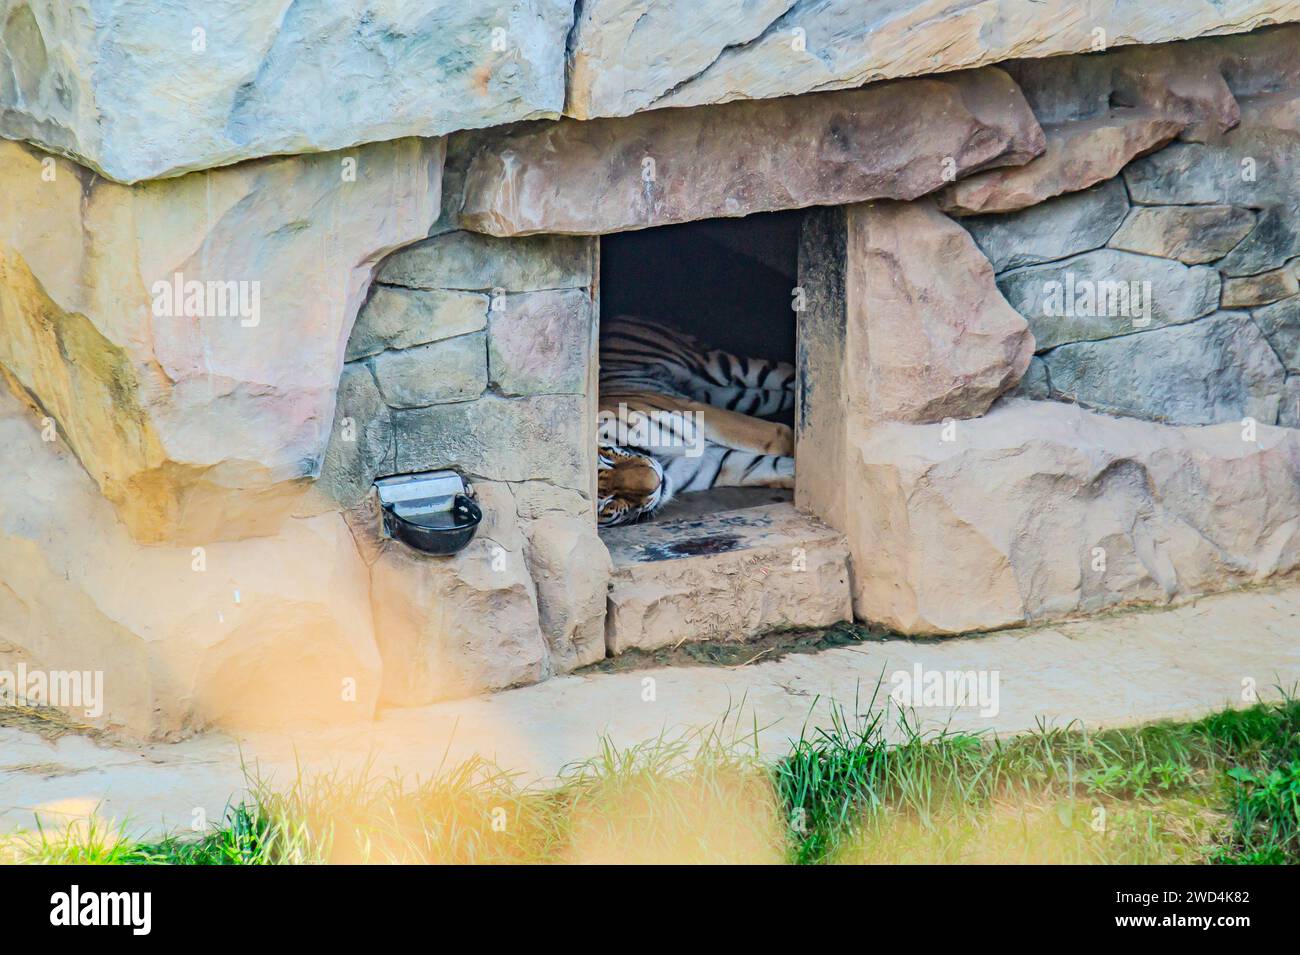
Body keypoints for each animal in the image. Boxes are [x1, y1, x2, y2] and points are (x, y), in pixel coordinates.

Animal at [597, 316, 796, 527]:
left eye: (608, 459)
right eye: (608, 502)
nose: (658, 482)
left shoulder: (696, 412)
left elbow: (777, 437)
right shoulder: (713, 462)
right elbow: (771, 466)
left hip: (718, 366)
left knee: (788, 371)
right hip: (736, 396)